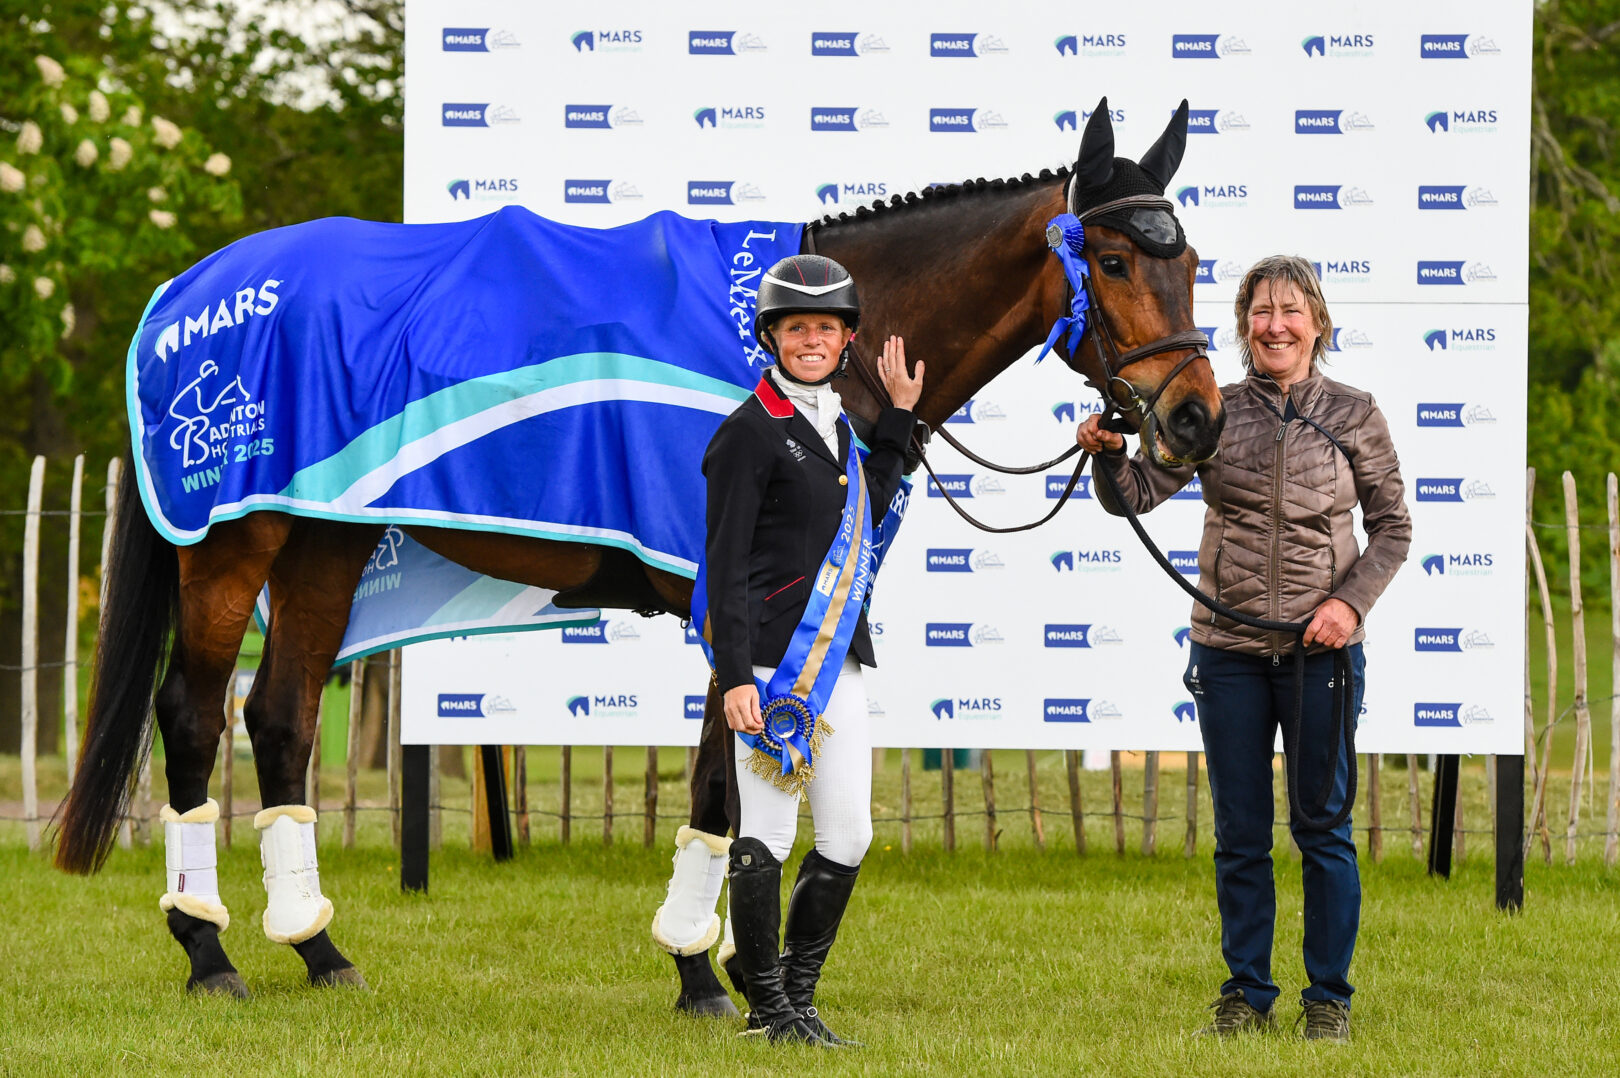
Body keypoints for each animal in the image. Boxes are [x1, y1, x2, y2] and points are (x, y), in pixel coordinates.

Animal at [54, 101, 1222, 1000]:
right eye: (1115, 257)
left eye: (1196, 262)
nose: (1195, 420)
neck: (796, 351)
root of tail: (193, 288)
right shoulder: (734, 609)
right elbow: (719, 791)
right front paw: (709, 976)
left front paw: (736, 969)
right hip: (231, 543)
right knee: (192, 716)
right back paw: (207, 951)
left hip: (325, 541)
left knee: (282, 717)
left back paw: (319, 948)